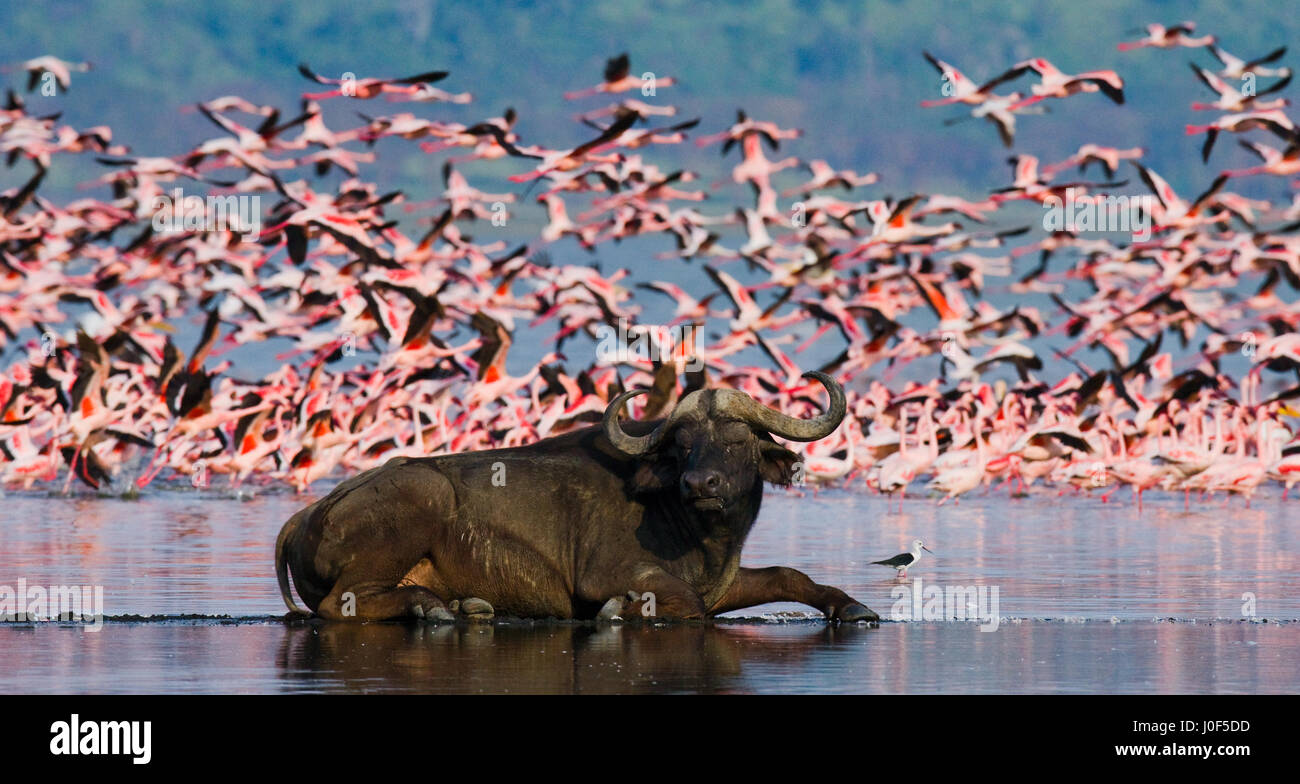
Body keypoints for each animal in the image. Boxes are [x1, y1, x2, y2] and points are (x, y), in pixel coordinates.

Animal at [276, 370, 878, 623]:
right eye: (683, 445)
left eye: (737, 440)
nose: (700, 485)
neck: (701, 534)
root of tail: (304, 516)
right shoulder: (607, 574)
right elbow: (681, 602)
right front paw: (621, 612)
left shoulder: (722, 583)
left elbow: (787, 576)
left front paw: (852, 606)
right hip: (420, 498)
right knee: (341, 604)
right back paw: (435, 611)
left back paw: (462, 607)